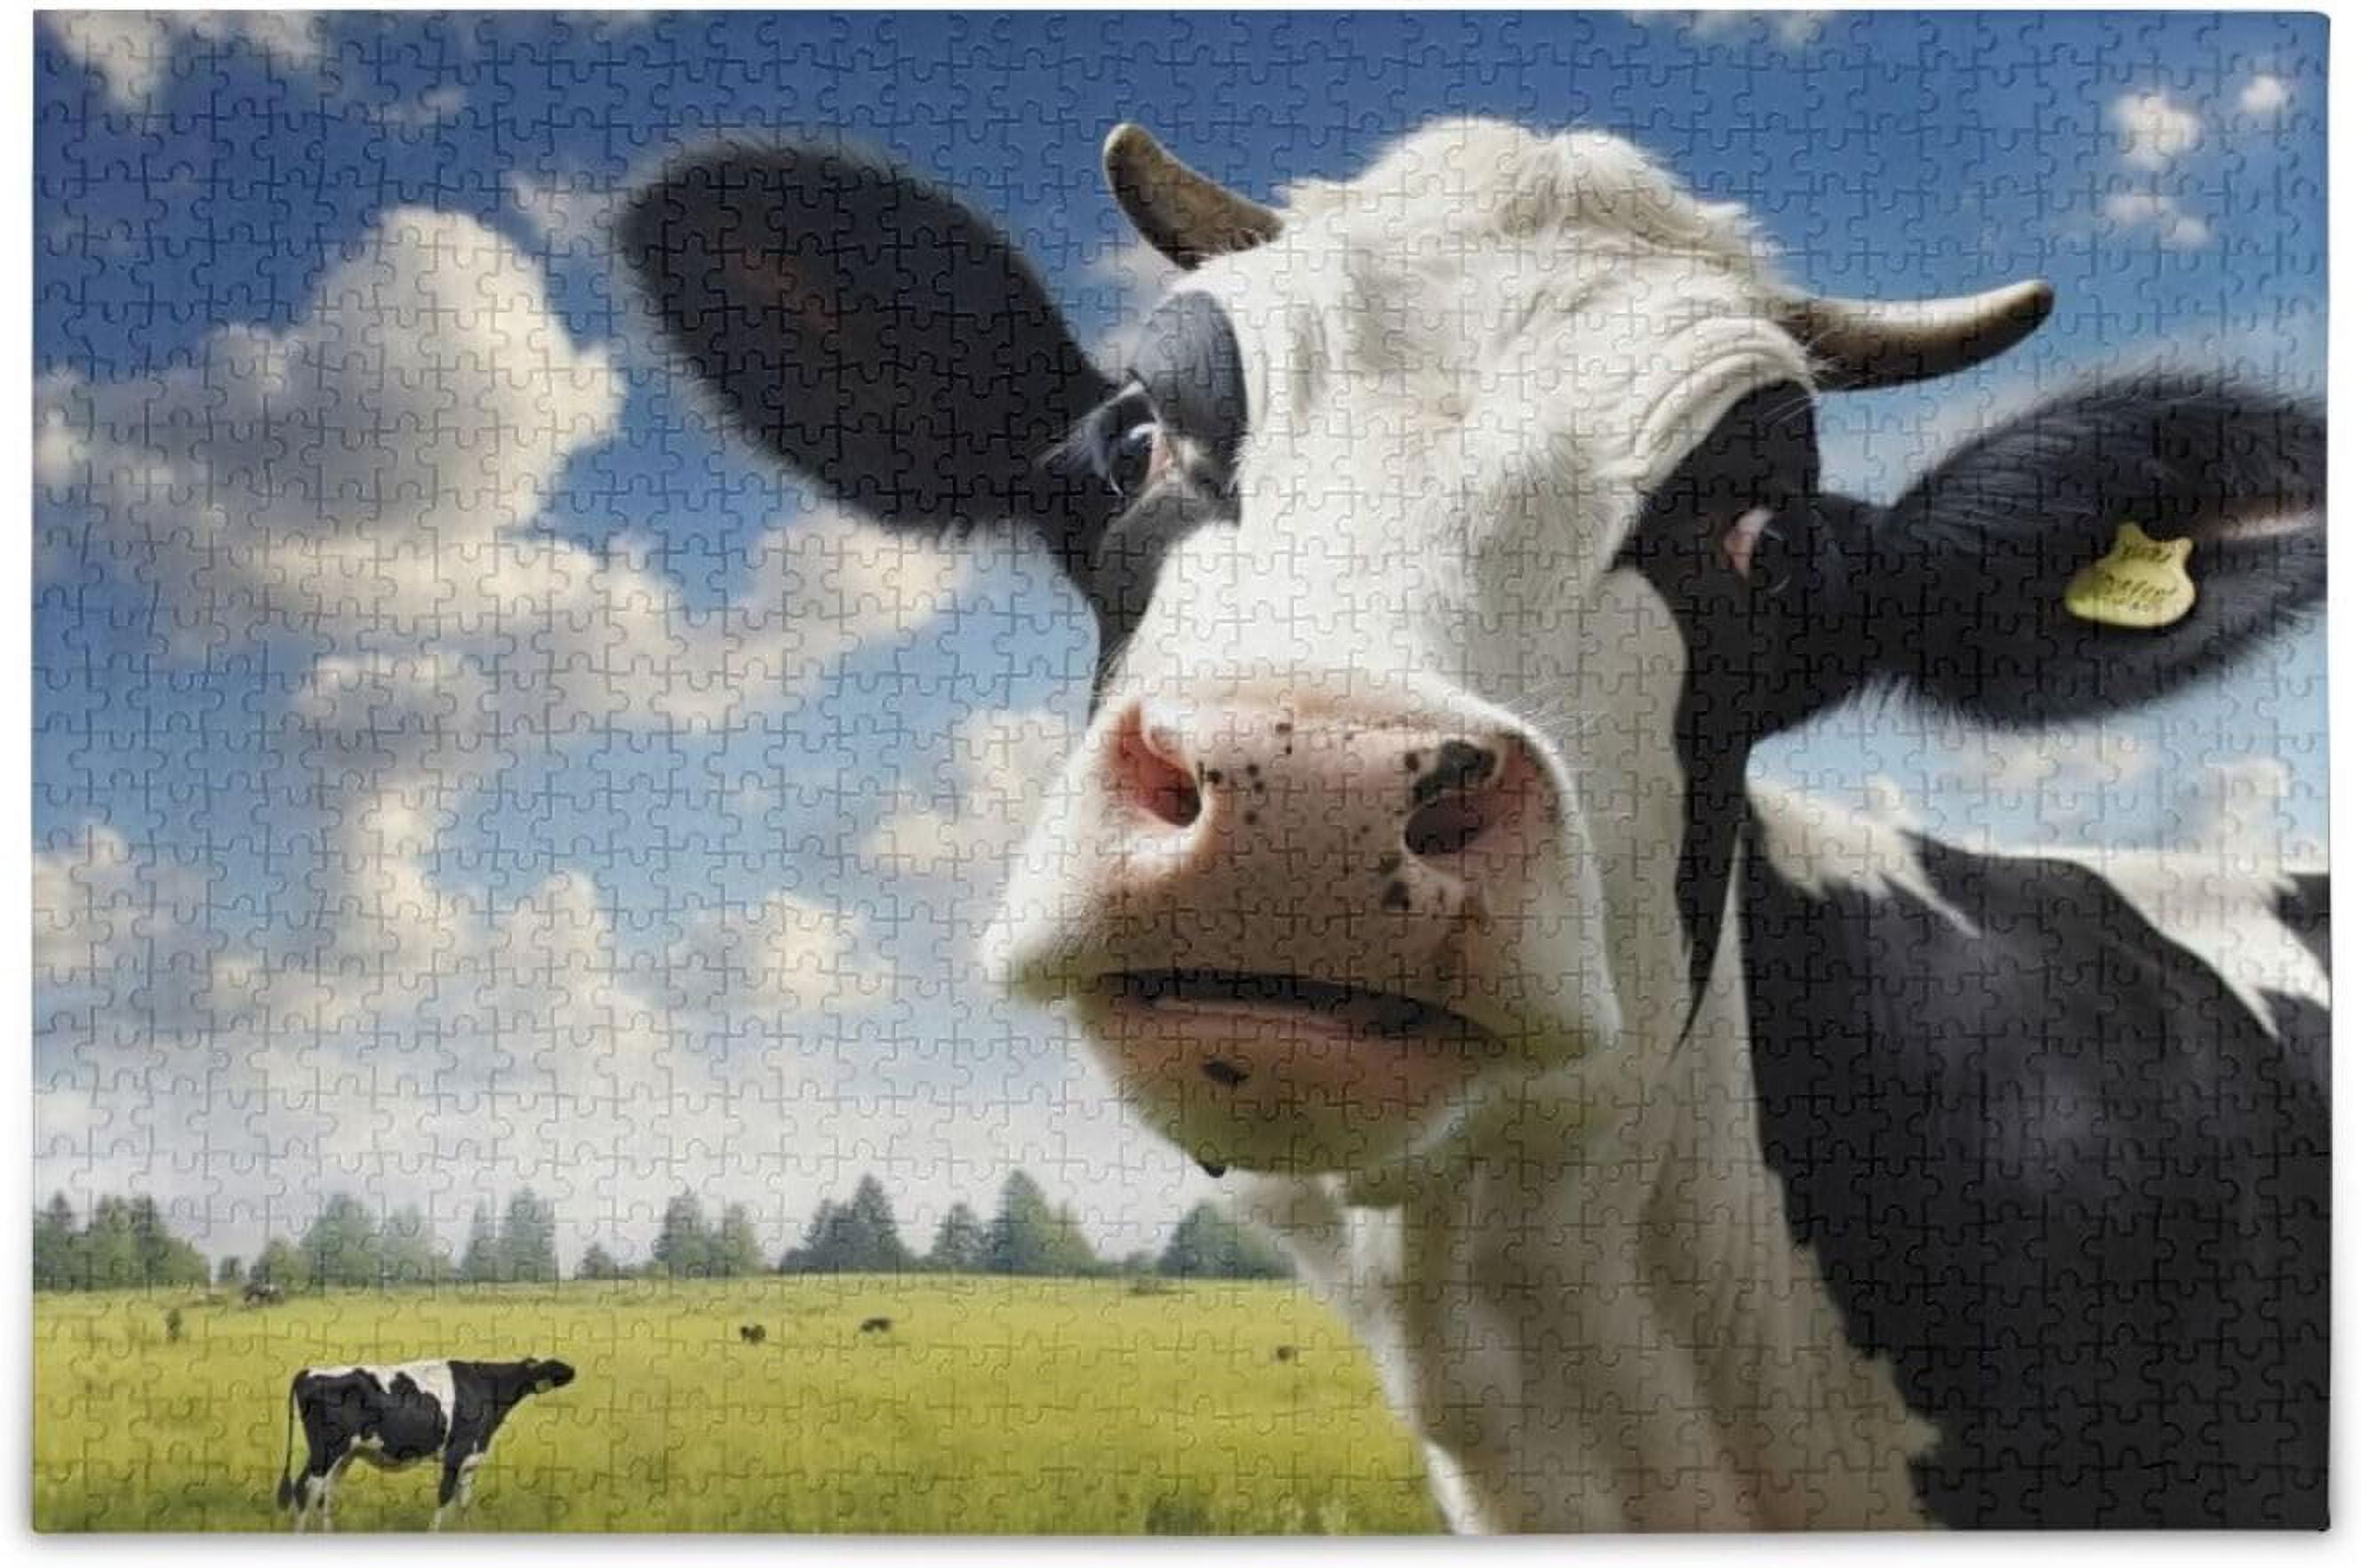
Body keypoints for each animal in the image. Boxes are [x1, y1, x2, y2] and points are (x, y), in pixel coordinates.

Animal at [276, 1358, 576, 1531]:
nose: (572, 1370)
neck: (486, 1388)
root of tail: (309, 1371)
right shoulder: (456, 1454)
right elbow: (444, 1496)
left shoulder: (471, 1458)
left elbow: (464, 1502)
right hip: (326, 1451)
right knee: (305, 1489)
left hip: (343, 1455)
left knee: (324, 1494)